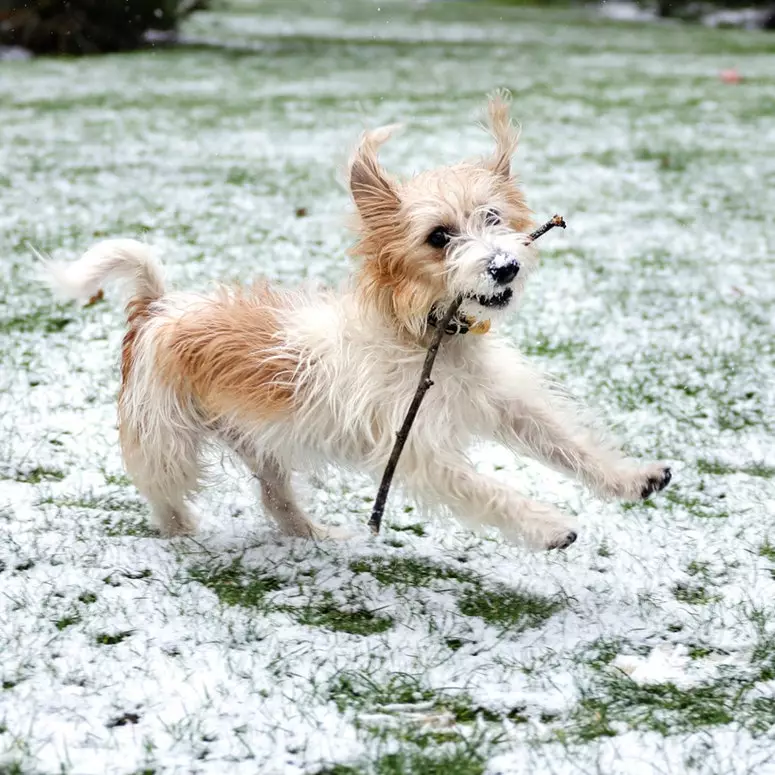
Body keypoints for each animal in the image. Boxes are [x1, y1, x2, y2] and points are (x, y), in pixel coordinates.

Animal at [44, 94, 672, 548]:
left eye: (493, 217)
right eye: (439, 237)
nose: (504, 267)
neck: (425, 334)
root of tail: (158, 306)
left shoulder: (505, 403)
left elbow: (567, 441)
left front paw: (631, 476)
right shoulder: (417, 449)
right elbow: (486, 489)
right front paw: (546, 526)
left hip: (260, 442)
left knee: (275, 499)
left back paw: (314, 536)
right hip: (166, 440)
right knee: (165, 495)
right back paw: (185, 538)